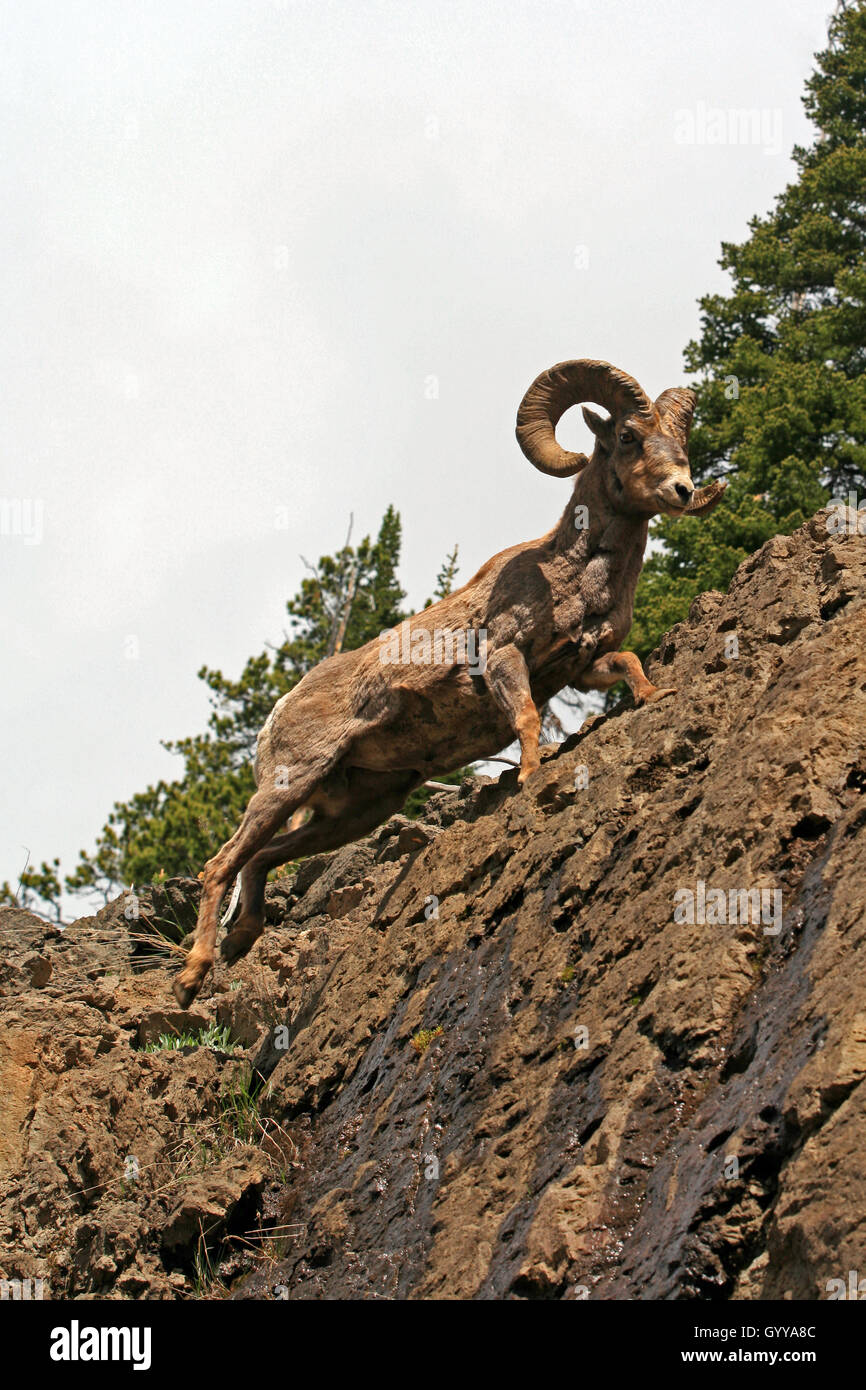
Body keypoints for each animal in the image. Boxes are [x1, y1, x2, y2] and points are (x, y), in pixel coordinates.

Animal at [174, 358, 725, 1005]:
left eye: (681, 443)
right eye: (628, 436)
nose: (681, 490)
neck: (575, 575)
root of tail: (278, 713)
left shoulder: (583, 665)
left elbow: (632, 665)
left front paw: (655, 696)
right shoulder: (507, 659)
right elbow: (526, 720)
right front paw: (532, 778)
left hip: (359, 810)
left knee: (260, 861)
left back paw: (241, 942)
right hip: (291, 782)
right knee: (222, 865)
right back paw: (191, 978)